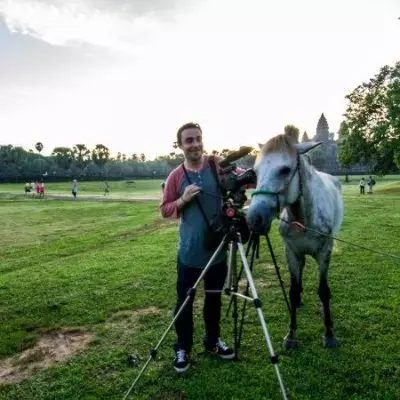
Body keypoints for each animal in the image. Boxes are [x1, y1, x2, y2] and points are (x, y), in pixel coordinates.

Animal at [247, 133, 344, 348]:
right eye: (255, 172)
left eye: (285, 170)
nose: (254, 218)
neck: (304, 219)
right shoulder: (291, 251)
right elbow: (291, 291)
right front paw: (290, 335)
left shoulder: (324, 253)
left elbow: (324, 291)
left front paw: (329, 333)